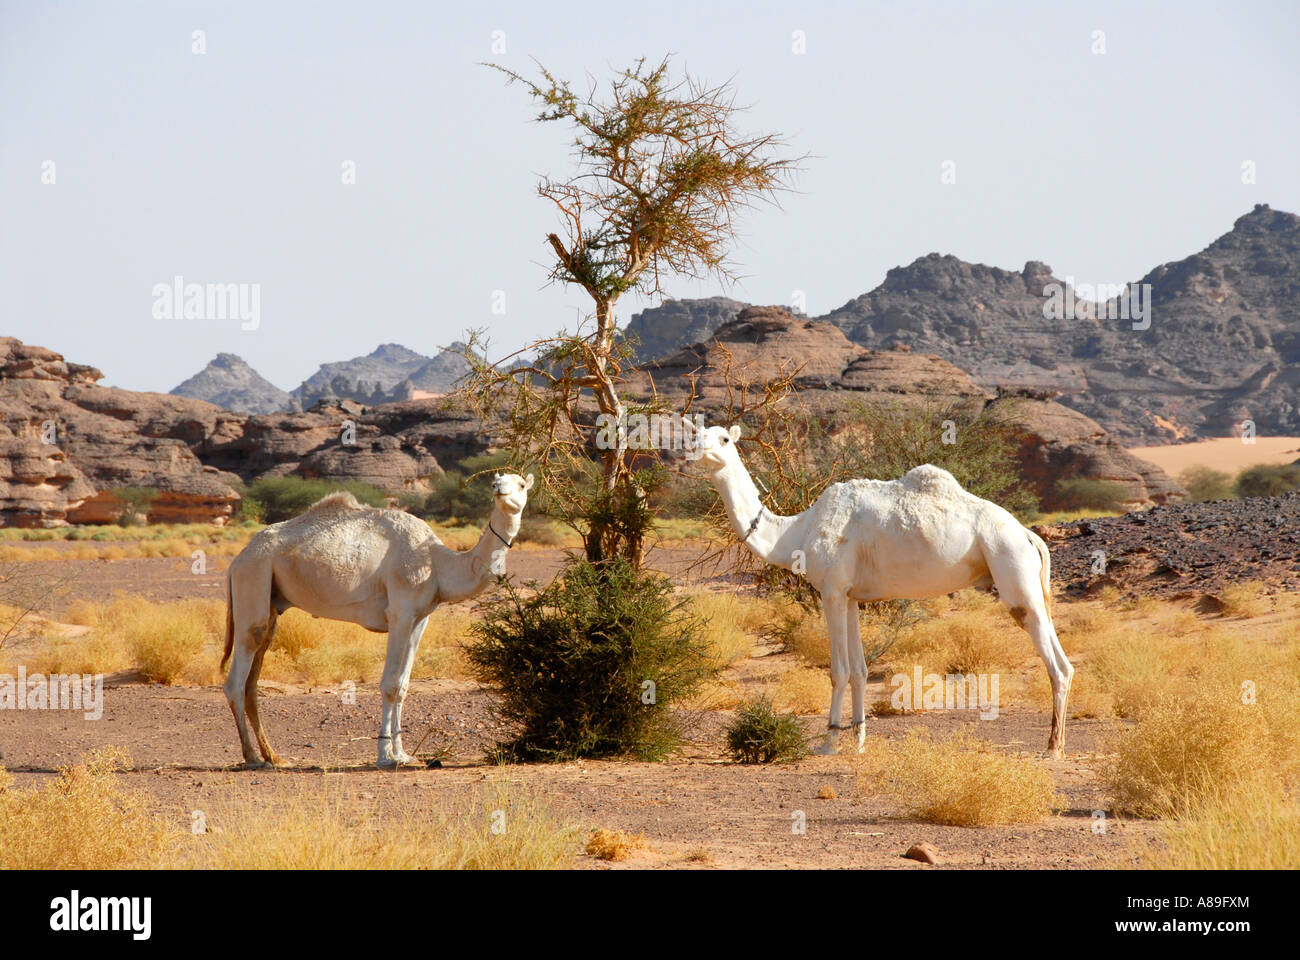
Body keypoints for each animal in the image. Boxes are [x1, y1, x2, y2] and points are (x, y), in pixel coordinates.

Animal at [220, 472, 533, 768]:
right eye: (494, 482)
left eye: (520, 484)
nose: (499, 490)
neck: (437, 564)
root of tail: (237, 560)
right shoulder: (400, 613)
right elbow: (390, 685)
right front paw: (385, 755)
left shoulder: (420, 619)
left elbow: (404, 685)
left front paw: (403, 753)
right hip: (254, 576)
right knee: (236, 678)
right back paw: (252, 757)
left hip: (270, 602)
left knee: (252, 680)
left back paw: (273, 756)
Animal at [681, 420, 1072, 758]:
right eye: (697, 433)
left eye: (725, 439)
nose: (693, 449)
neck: (795, 532)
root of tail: (1028, 534)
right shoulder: (851, 596)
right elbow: (860, 671)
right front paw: (858, 739)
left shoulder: (831, 591)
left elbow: (838, 670)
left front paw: (828, 742)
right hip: (1029, 582)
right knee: (1062, 658)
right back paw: (1056, 742)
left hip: (1010, 565)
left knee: (1055, 663)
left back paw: (1052, 748)